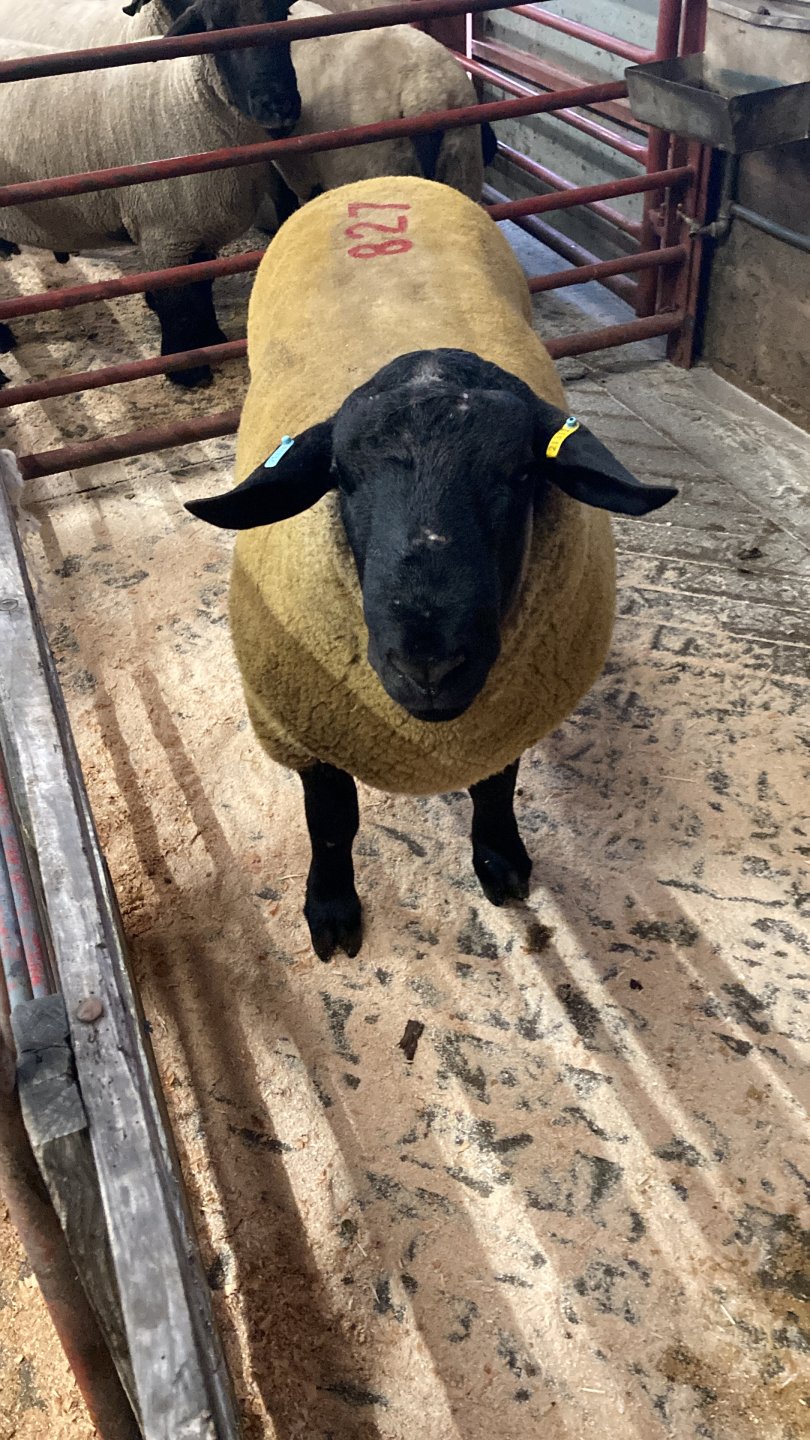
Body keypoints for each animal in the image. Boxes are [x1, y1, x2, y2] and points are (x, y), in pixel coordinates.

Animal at [0, 0, 301, 386]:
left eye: (282, 15)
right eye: (214, 26)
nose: (279, 104)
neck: (190, 98)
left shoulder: (195, 229)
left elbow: (199, 287)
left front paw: (212, 340)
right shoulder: (165, 232)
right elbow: (177, 302)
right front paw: (186, 370)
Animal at [187, 176, 677, 961]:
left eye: (519, 476)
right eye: (342, 477)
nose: (428, 664)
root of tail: (372, 183)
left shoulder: (509, 707)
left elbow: (496, 787)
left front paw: (501, 860)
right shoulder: (304, 731)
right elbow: (332, 823)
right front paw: (331, 910)